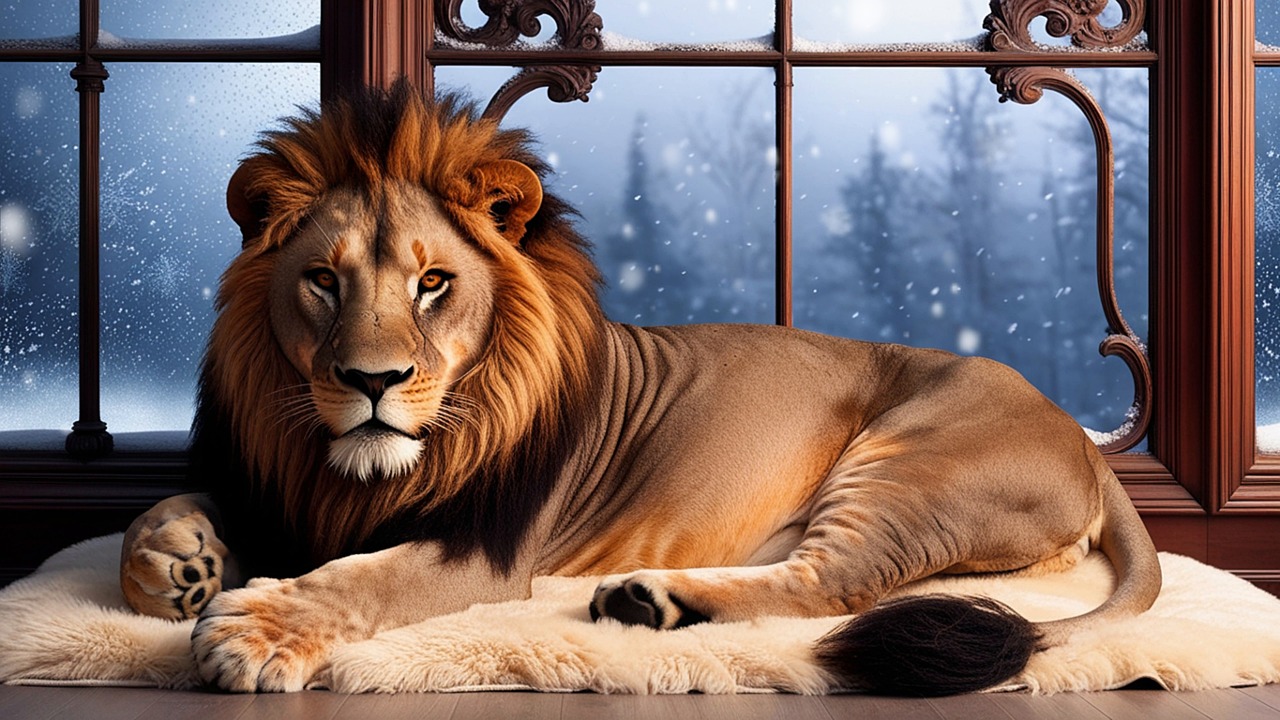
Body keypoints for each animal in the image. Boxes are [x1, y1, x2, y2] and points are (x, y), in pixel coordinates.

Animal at [119, 82, 1161, 696]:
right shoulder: (274, 481)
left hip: (909, 464)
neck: (345, 467)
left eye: (433, 283)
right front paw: (180, 565)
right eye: (322, 282)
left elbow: (367, 576)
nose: (371, 382)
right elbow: (155, 511)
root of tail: (1078, 433)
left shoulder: (488, 551)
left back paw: (643, 602)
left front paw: (251, 628)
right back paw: (649, 606)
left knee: (835, 585)